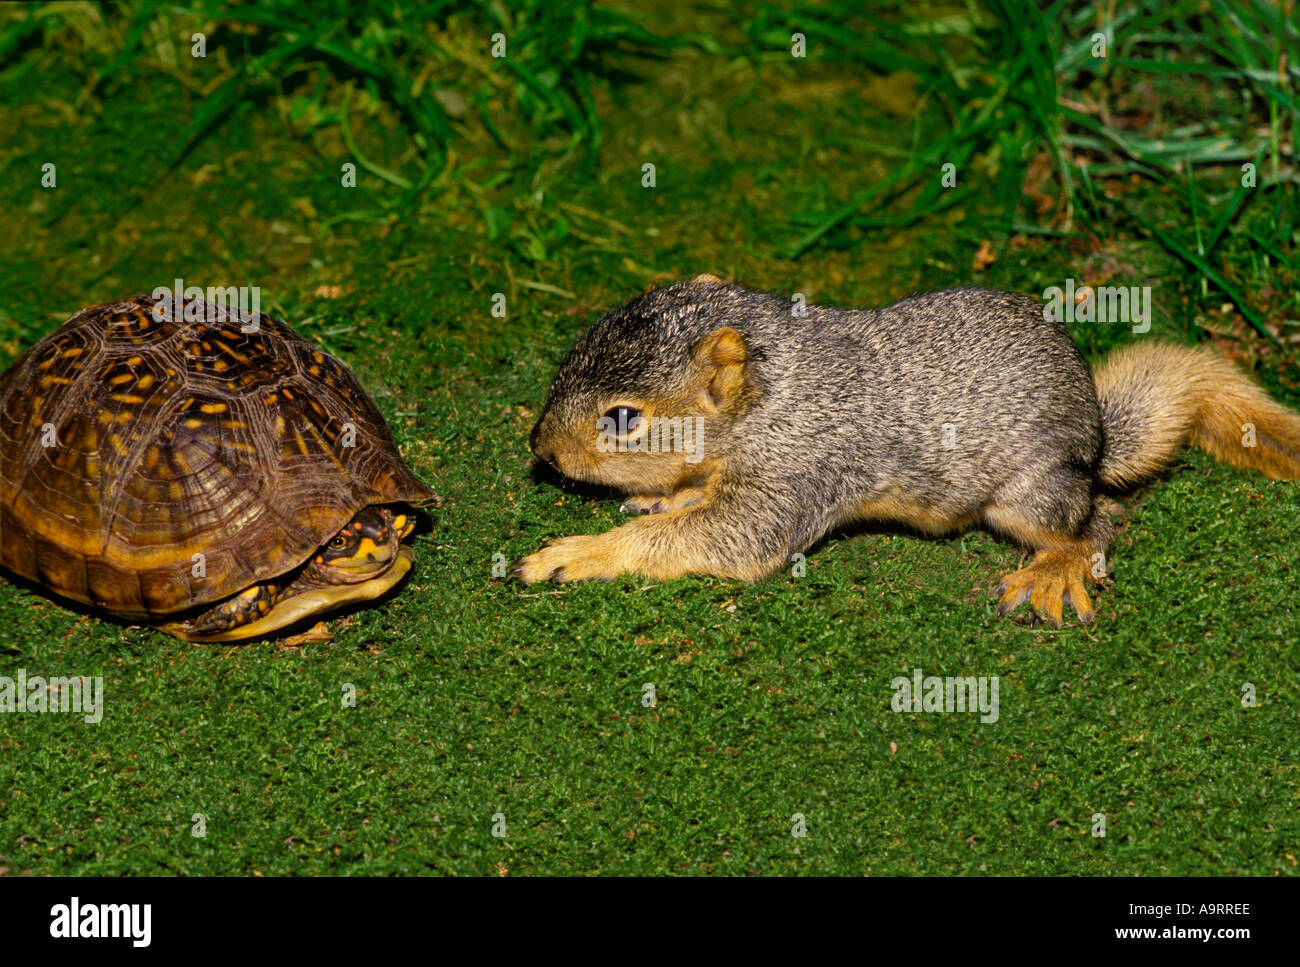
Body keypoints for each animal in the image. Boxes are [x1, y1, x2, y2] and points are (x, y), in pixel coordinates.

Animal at [513, 274, 1300, 627]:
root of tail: (1095, 440)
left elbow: (734, 539)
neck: (769, 394)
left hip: (1029, 494)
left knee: (1093, 522)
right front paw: (668, 491)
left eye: (622, 418)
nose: (538, 446)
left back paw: (1055, 569)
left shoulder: (801, 468)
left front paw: (575, 554)